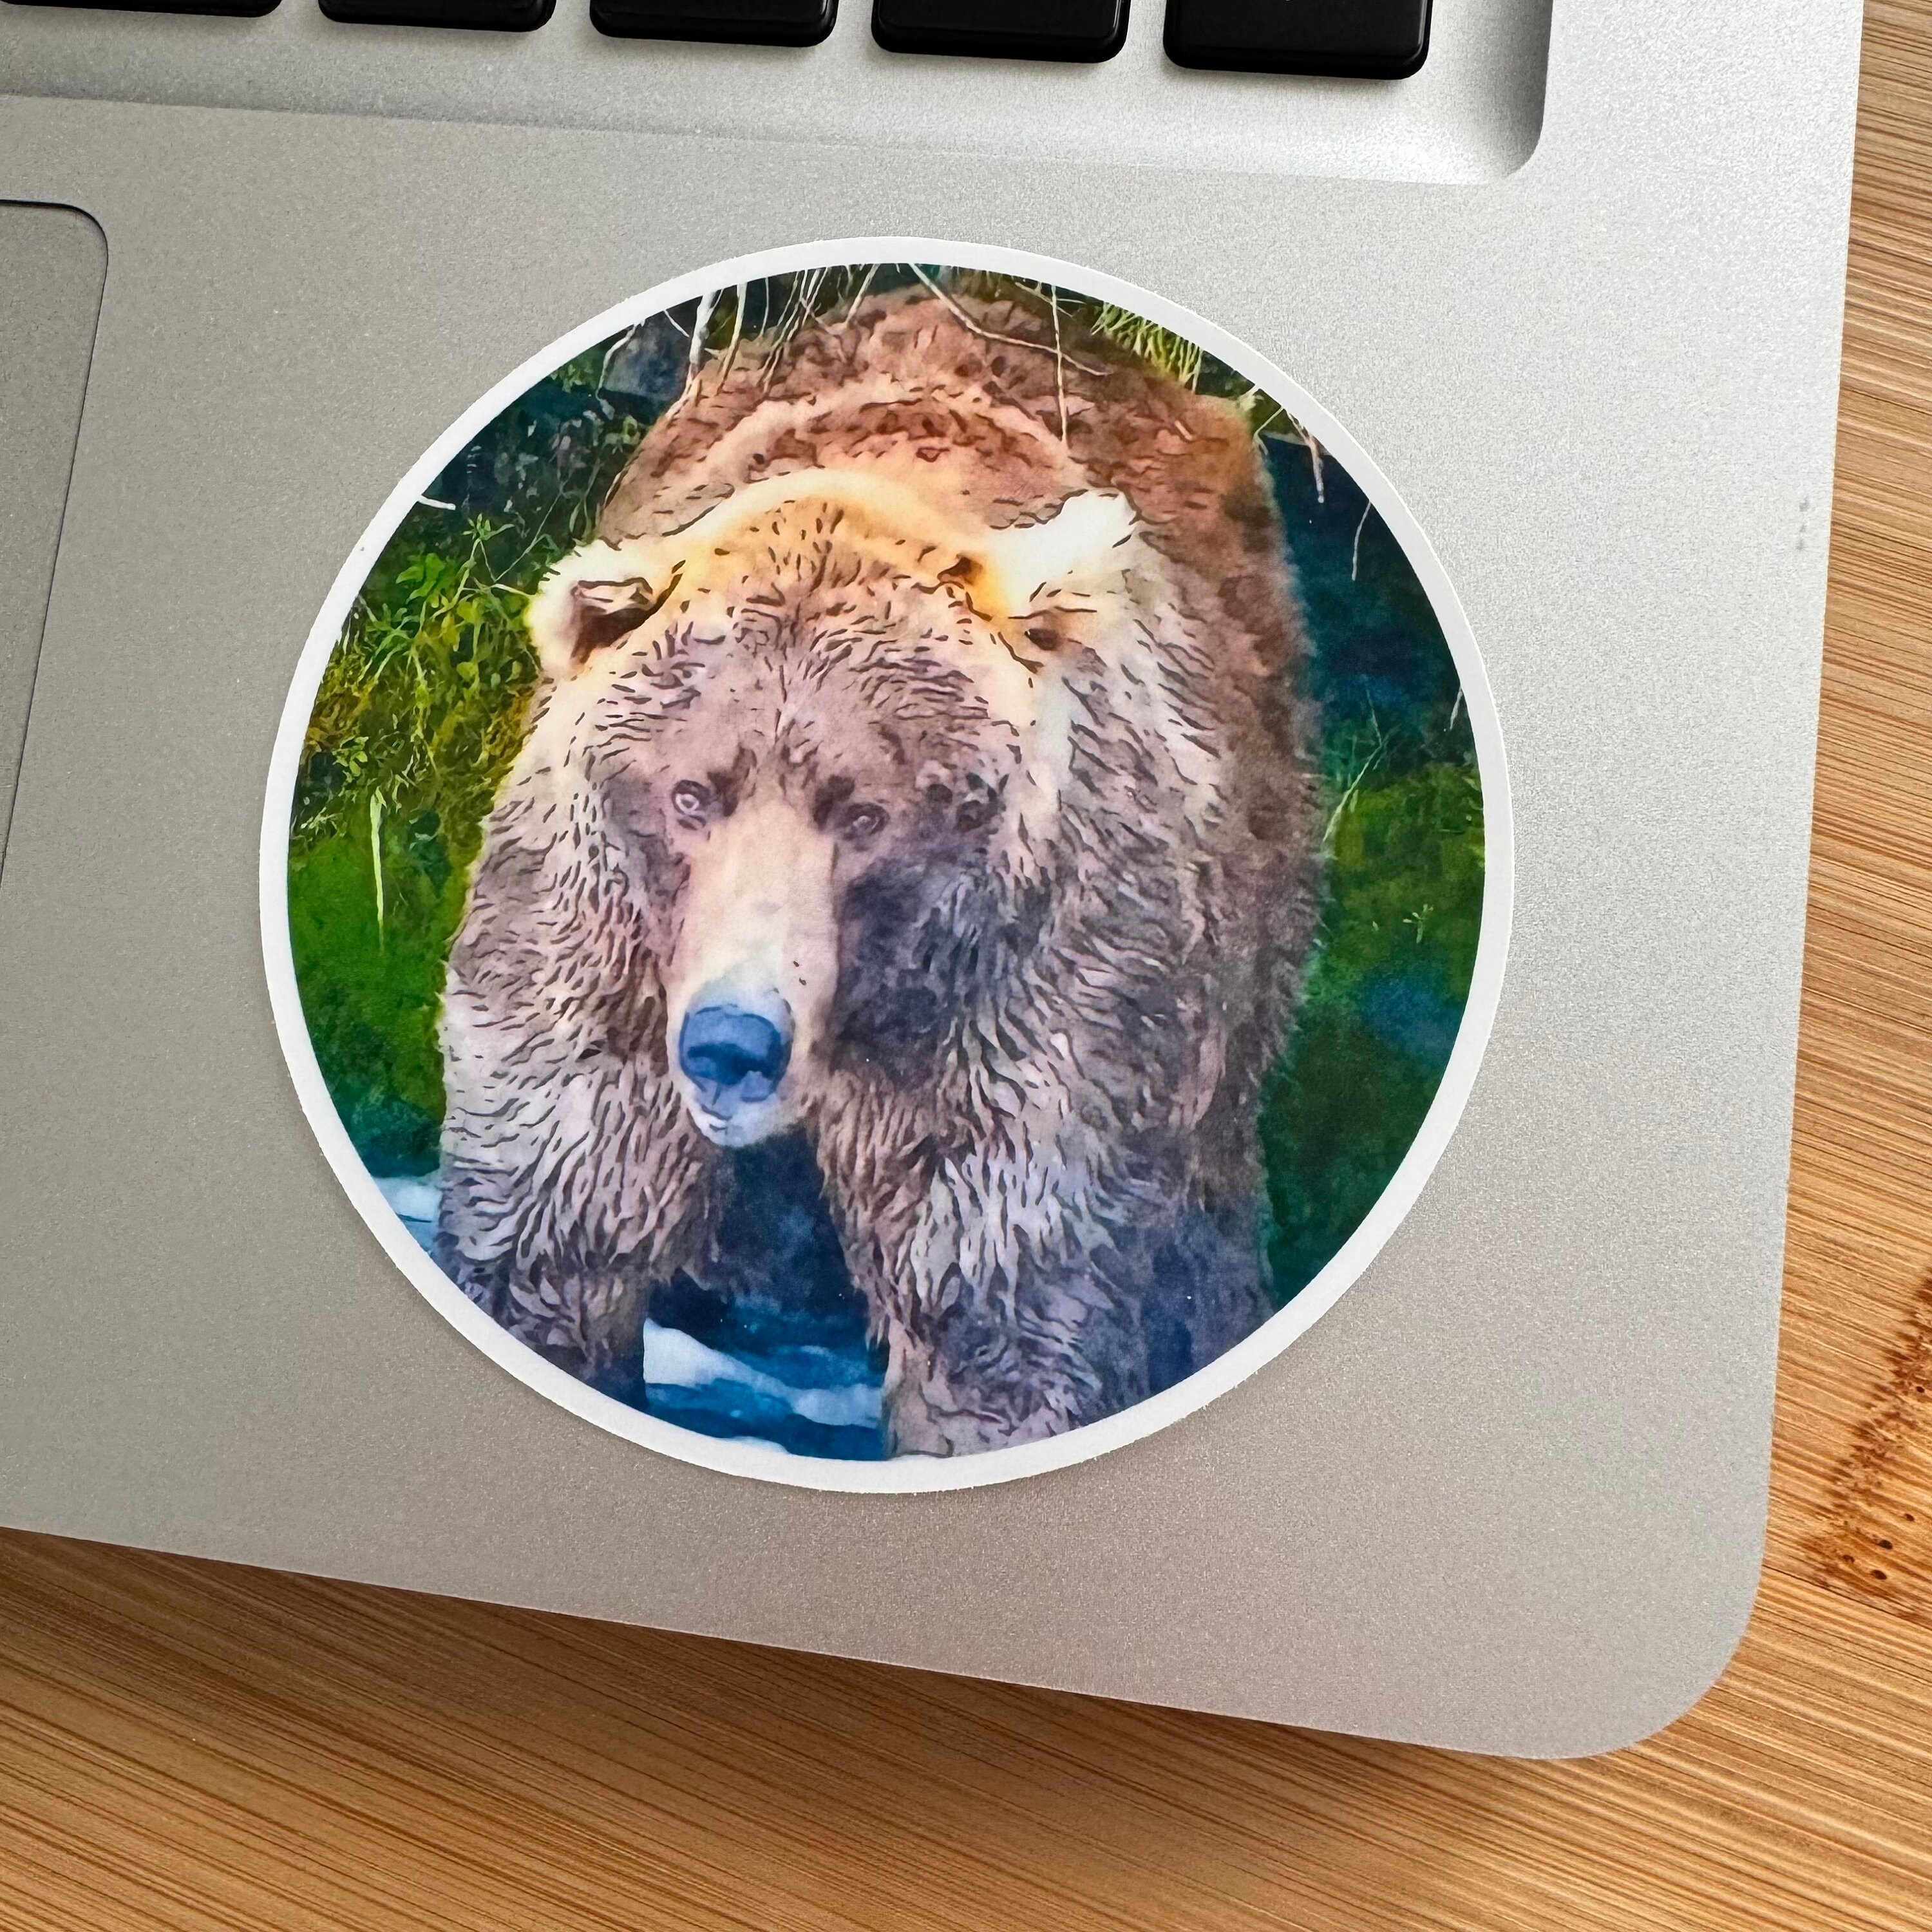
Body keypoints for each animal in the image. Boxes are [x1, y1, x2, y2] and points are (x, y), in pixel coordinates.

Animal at [435, 285, 1321, 1456]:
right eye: (693, 794)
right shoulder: (600, 944)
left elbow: (999, 1310)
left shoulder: (1020, 984)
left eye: (862, 811)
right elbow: (554, 1222)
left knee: (1204, 1227)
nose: (734, 1042)